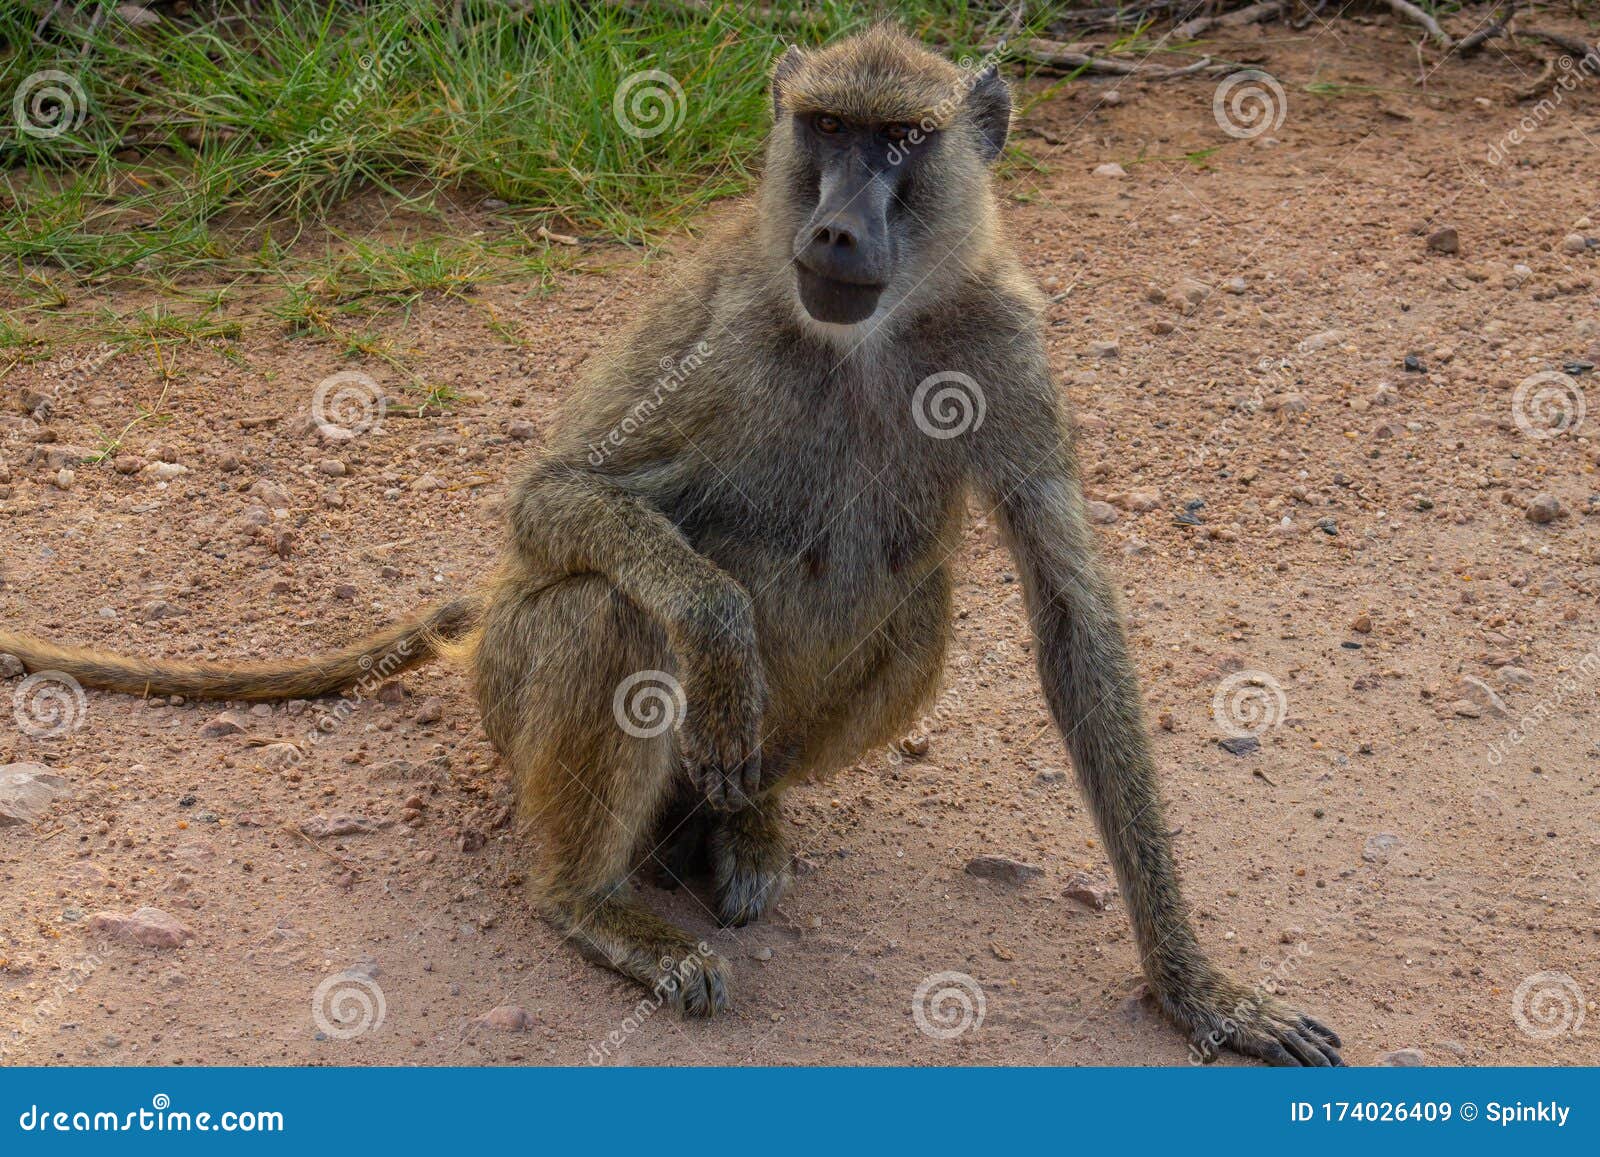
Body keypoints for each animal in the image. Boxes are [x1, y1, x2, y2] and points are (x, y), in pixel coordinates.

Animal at [0, 25, 1342, 1065]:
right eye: (825, 129)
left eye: (901, 143)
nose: (836, 232)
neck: (868, 334)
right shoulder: (733, 330)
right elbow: (557, 502)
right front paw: (717, 628)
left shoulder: (1004, 345)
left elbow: (1069, 616)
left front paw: (1196, 986)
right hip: (510, 699)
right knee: (606, 609)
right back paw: (592, 900)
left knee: (920, 600)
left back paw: (739, 825)